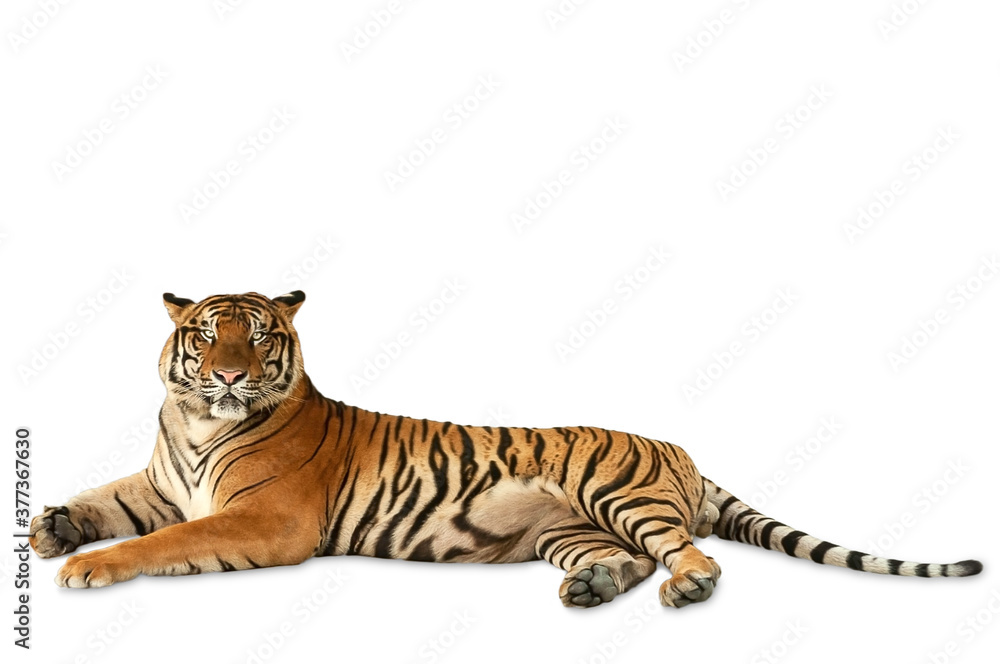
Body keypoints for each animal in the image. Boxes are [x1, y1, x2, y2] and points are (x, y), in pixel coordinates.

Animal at [30, 291, 983, 608]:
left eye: (259, 337)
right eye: (207, 335)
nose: (229, 374)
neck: (199, 422)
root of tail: (681, 451)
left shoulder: (266, 519)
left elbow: (168, 540)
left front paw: (85, 567)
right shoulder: (162, 480)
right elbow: (112, 500)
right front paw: (52, 527)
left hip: (619, 494)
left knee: (689, 552)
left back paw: (689, 589)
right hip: (567, 526)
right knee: (625, 559)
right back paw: (595, 589)